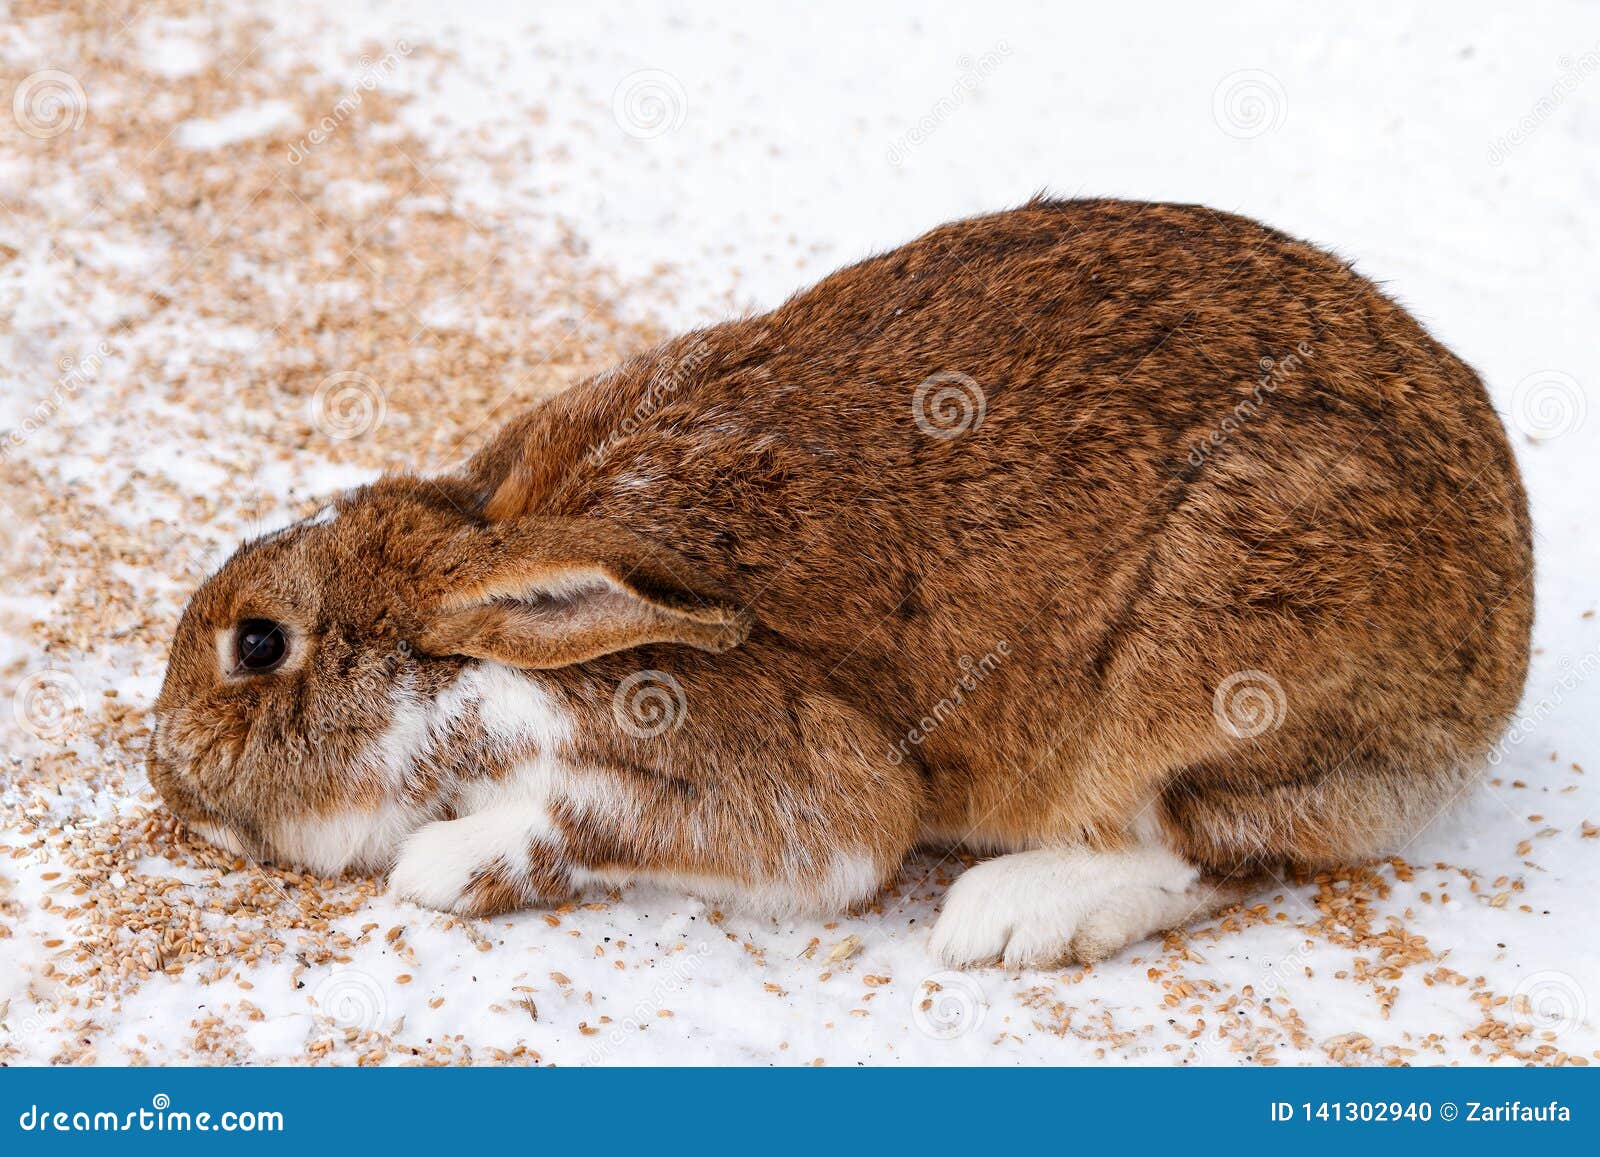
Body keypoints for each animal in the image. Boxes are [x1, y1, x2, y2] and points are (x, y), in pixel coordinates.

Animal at [149, 198, 1532, 968]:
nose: (165, 775)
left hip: (1212, 679)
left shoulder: (773, 770)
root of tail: (1502, 637)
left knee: (1213, 849)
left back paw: (1009, 918)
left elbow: (604, 823)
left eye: (258, 643)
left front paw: (445, 866)